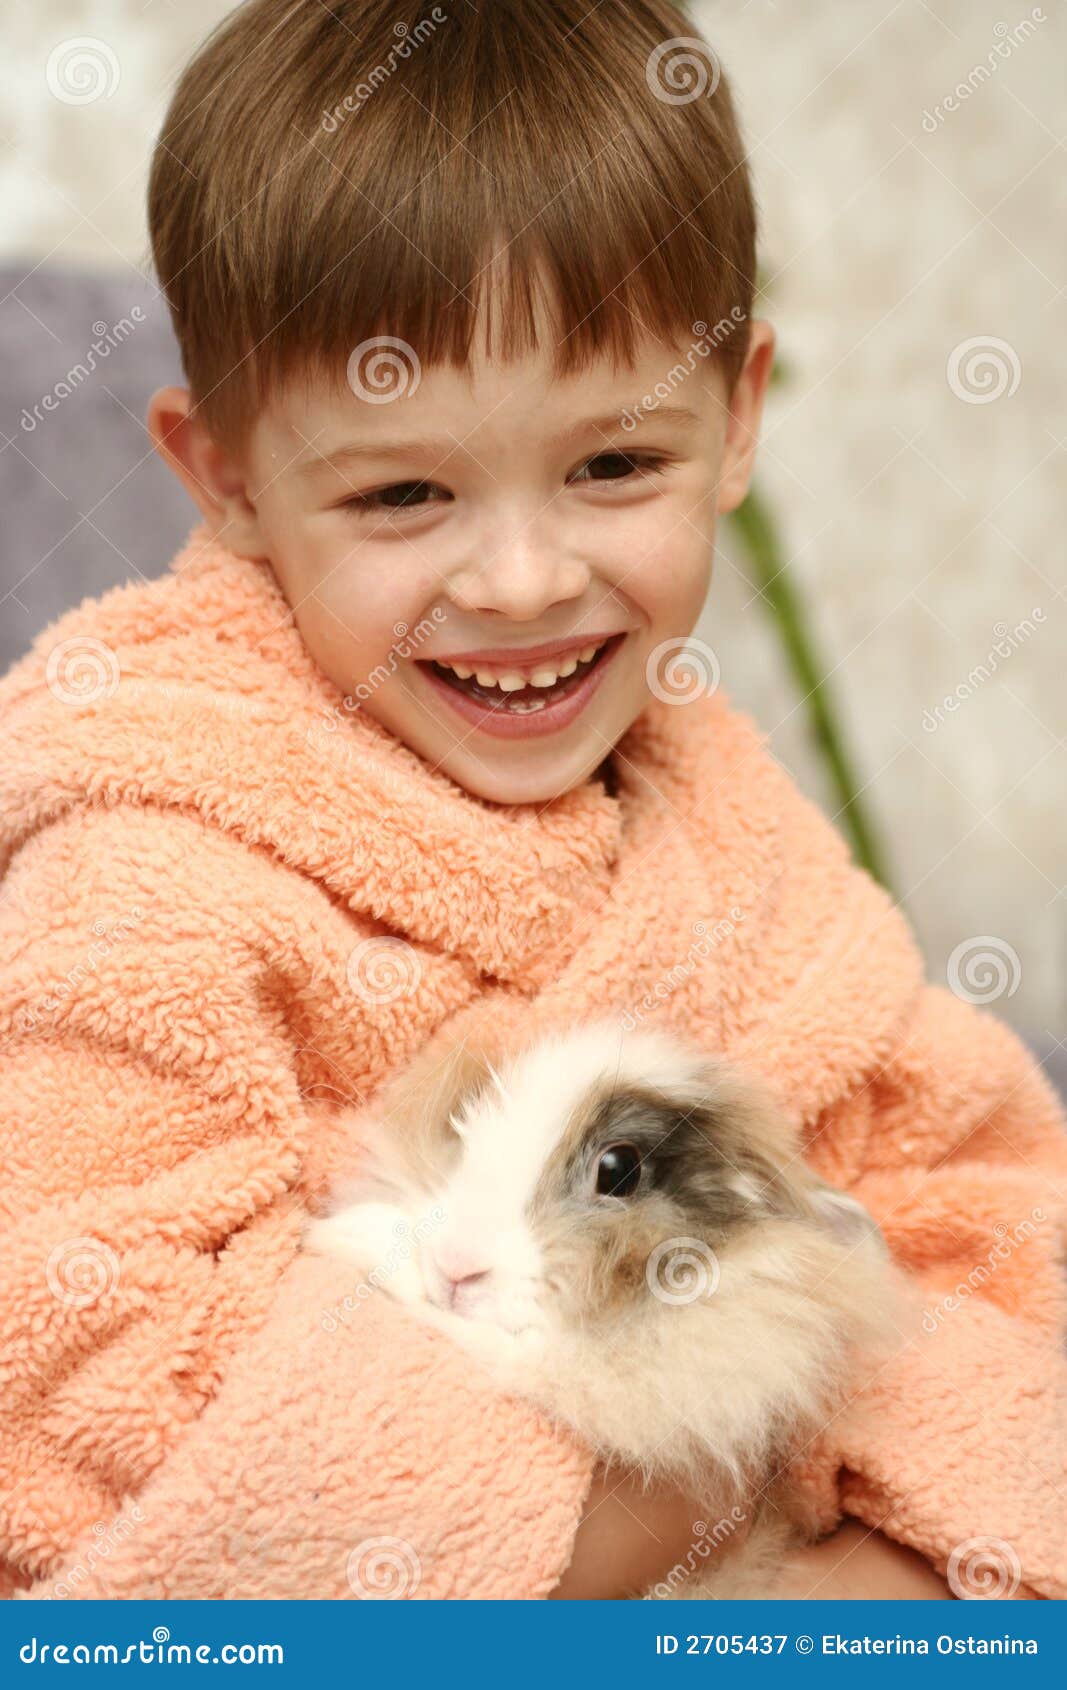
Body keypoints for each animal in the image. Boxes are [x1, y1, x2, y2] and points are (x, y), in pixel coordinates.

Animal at [302, 1019, 909, 1597]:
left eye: (618, 1170)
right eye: (463, 1130)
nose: (454, 1265)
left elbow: (504, 1347)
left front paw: (359, 1241)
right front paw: (363, 1233)